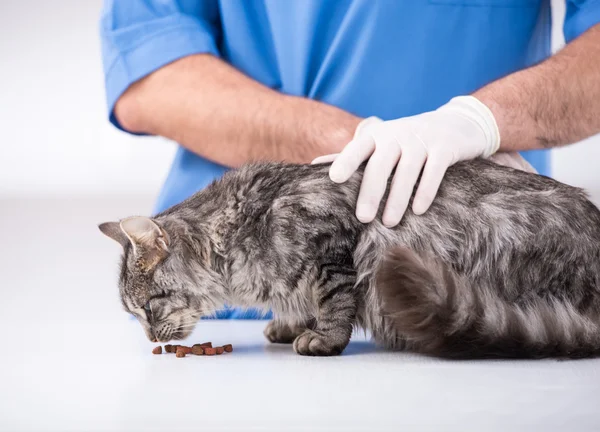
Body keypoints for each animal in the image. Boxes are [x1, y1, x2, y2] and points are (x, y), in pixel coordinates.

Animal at [98, 160, 600, 360]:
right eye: (134, 314)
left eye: (148, 308)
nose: (149, 338)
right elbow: (298, 301)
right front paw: (289, 324)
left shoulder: (335, 247)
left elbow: (333, 303)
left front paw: (322, 339)